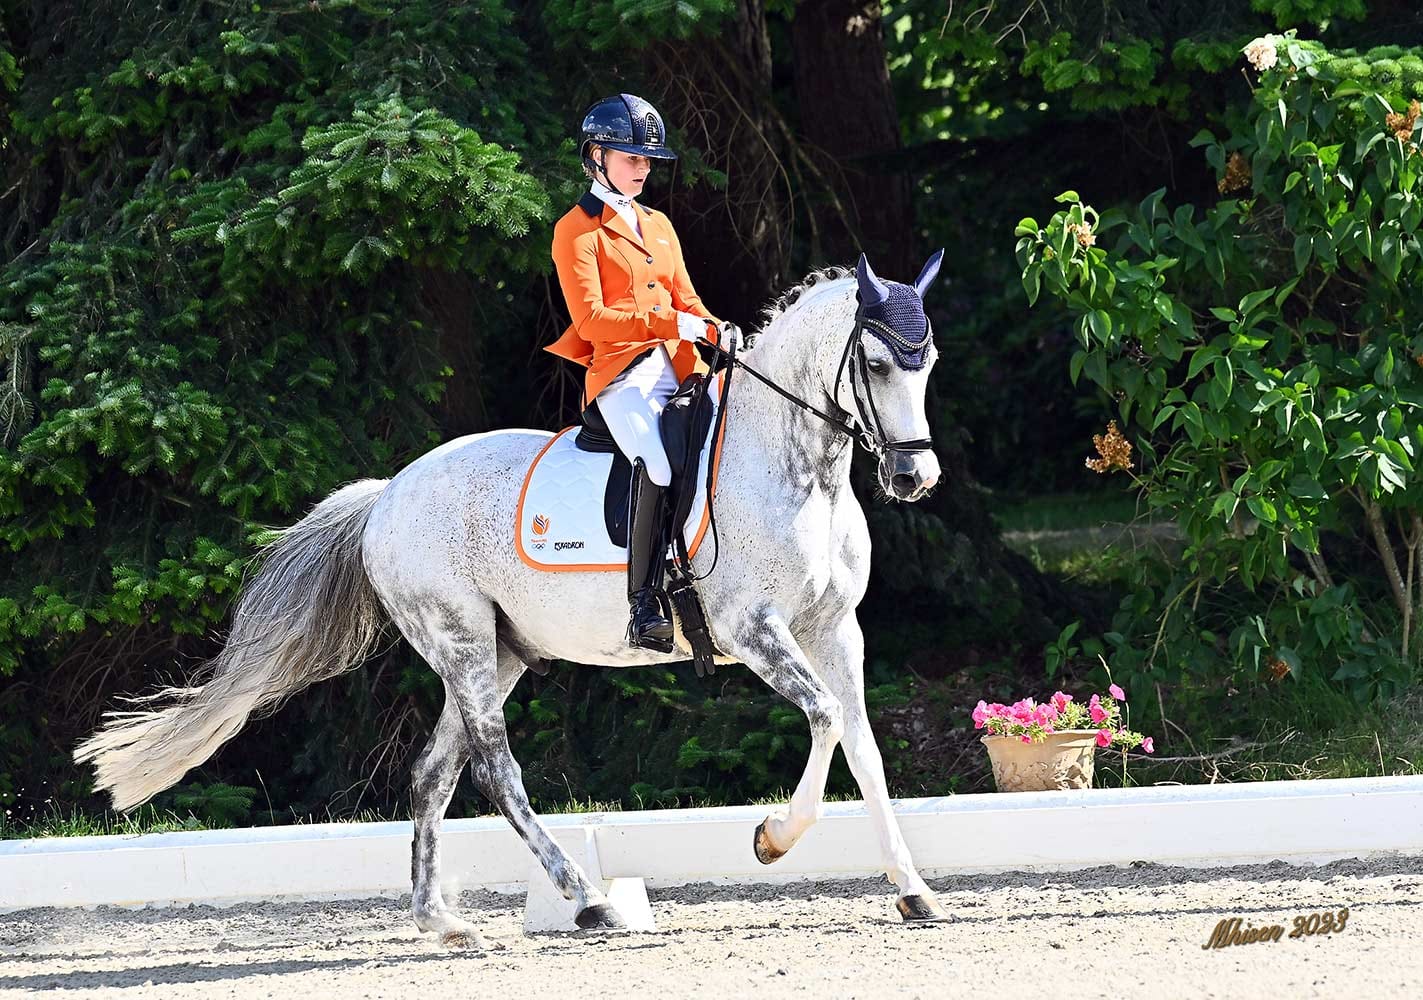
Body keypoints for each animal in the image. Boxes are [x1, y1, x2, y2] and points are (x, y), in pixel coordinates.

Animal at [75, 251, 951, 946]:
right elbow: (826, 719)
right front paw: (773, 837)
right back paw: (588, 901)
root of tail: (387, 496)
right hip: (460, 641)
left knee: (432, 774)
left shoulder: (835, 630)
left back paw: (440, 921)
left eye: (928, 362)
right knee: (496, 772)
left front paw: (912, 891)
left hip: (497, 654)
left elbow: (862, 745)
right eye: (876, 366)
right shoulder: (752, 627)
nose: (914, 476)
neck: (795, 467)